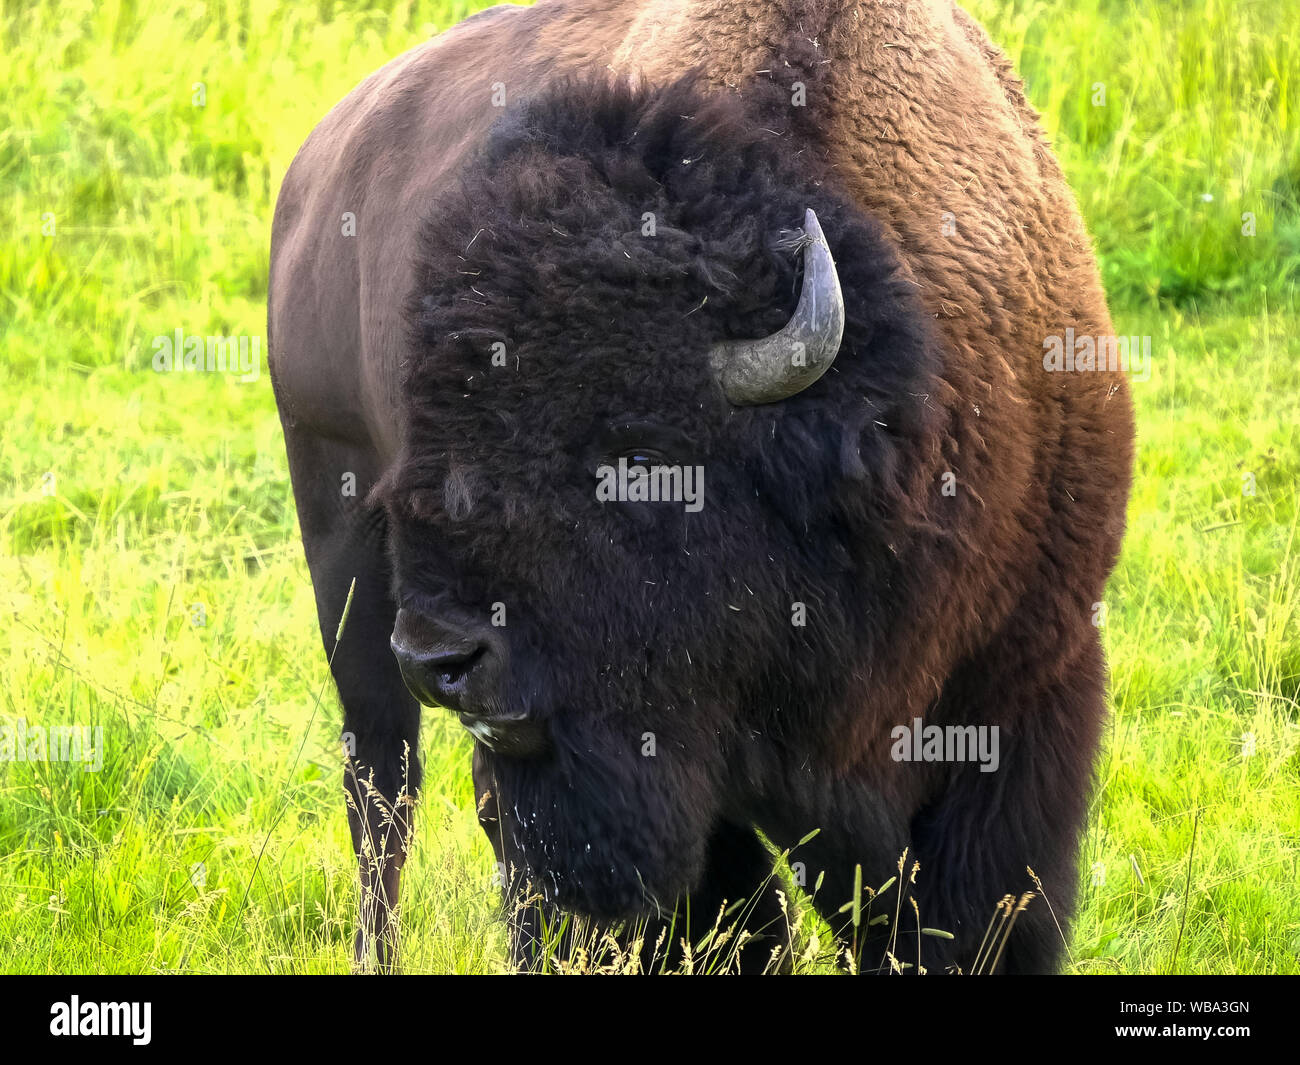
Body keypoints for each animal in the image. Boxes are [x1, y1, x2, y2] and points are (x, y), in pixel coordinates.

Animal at [268, 0, 1134, 974]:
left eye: (641, 458)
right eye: (440, 434)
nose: (442, 657)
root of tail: (317, 161)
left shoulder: (1031, 675)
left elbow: (980, 906)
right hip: (341, 546)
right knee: (385, 786)